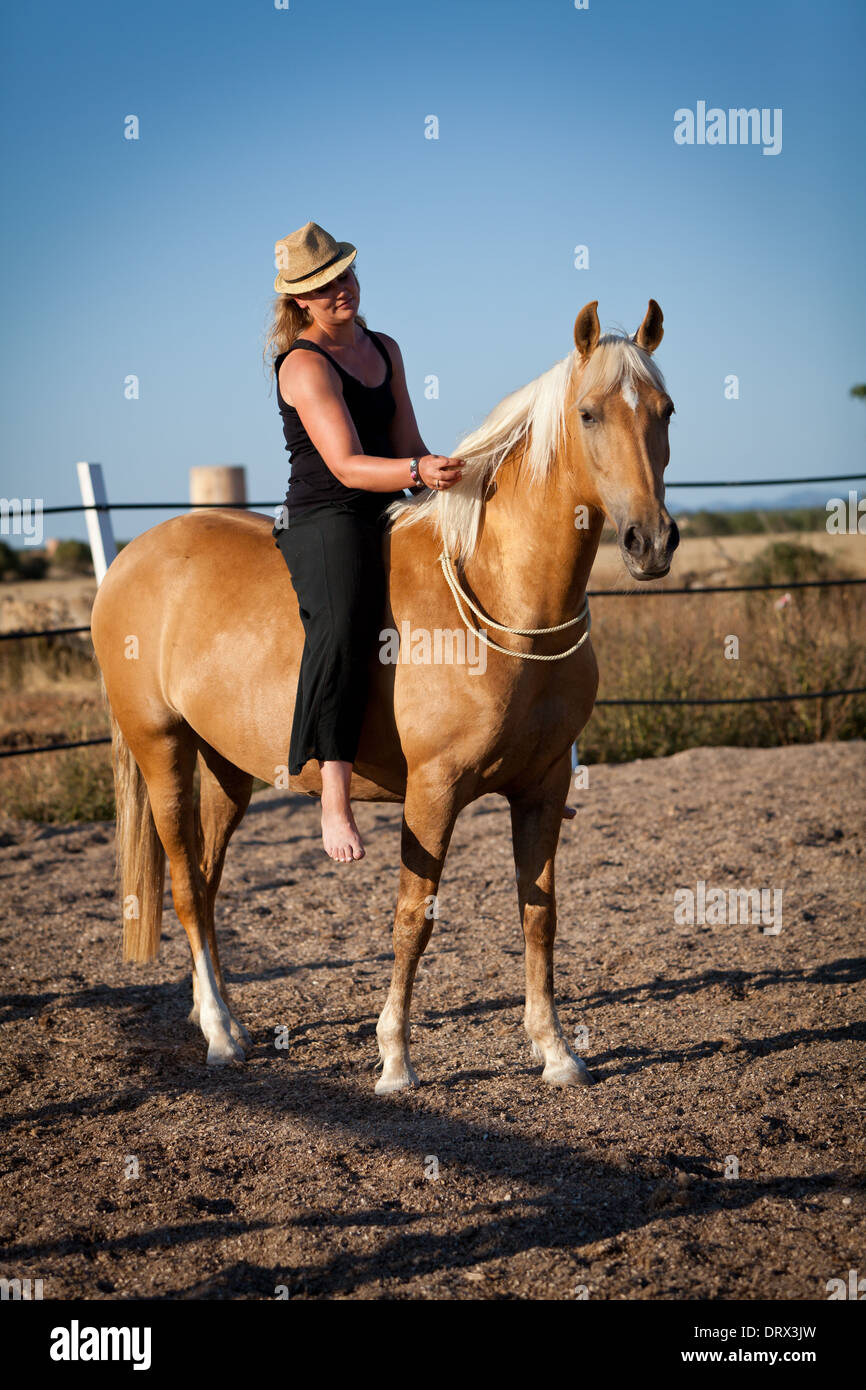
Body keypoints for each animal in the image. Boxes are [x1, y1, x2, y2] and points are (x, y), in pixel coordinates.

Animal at [90, 299, 678, 1093]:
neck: (501, 594)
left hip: (226, 770)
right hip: (162, 753)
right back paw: (219, 1035)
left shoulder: (544, 786)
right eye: (587, 414)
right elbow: (413, 918)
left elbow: (540, 913)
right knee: (185, 885)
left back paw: (221, 1017)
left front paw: (556, 1051)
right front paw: (395, 1059)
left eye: (665, 411)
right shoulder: (433, 792)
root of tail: (132, 558)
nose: (652, 543)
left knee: (207, 889)